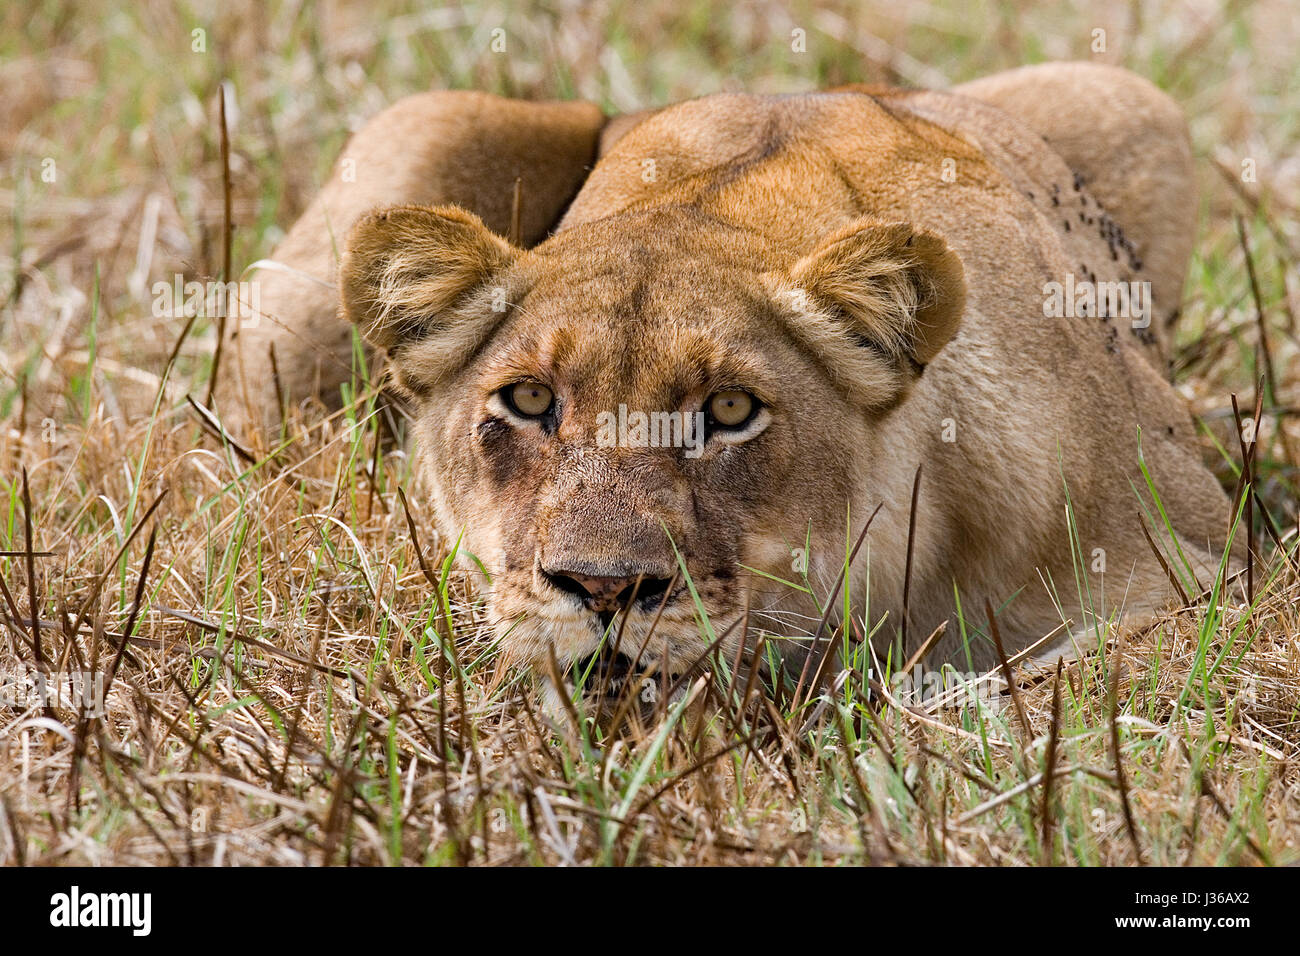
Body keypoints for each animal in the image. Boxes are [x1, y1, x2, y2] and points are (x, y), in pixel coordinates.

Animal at [221, 63, 1234, 707]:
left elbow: (1043, 689)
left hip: (1130, 99)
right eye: (531, 400)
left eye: (731, 412)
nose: (602, 589)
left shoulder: (1208, 574)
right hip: (420, 129)